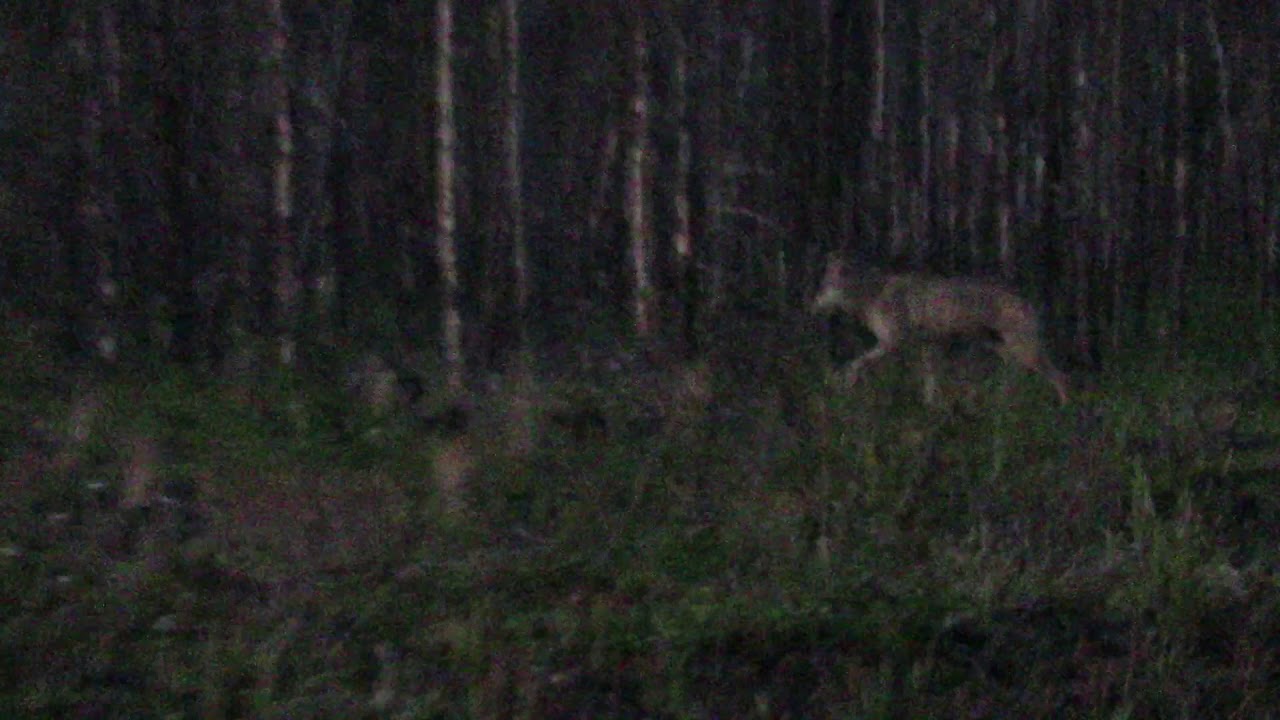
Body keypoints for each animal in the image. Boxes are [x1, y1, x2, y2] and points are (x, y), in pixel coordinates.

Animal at [810, 253, 1069, 405]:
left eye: (822, 288)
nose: (811, 304)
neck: (871, 293)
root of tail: (1028, 303)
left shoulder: (891, 343)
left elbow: (856, 362)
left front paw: (847, 381)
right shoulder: (928, 346)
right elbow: (930, 382)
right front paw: (930, 407)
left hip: (1024, 352)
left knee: (1059, 376)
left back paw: (1064, 409)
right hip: (1004, 349)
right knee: (1021, 376)